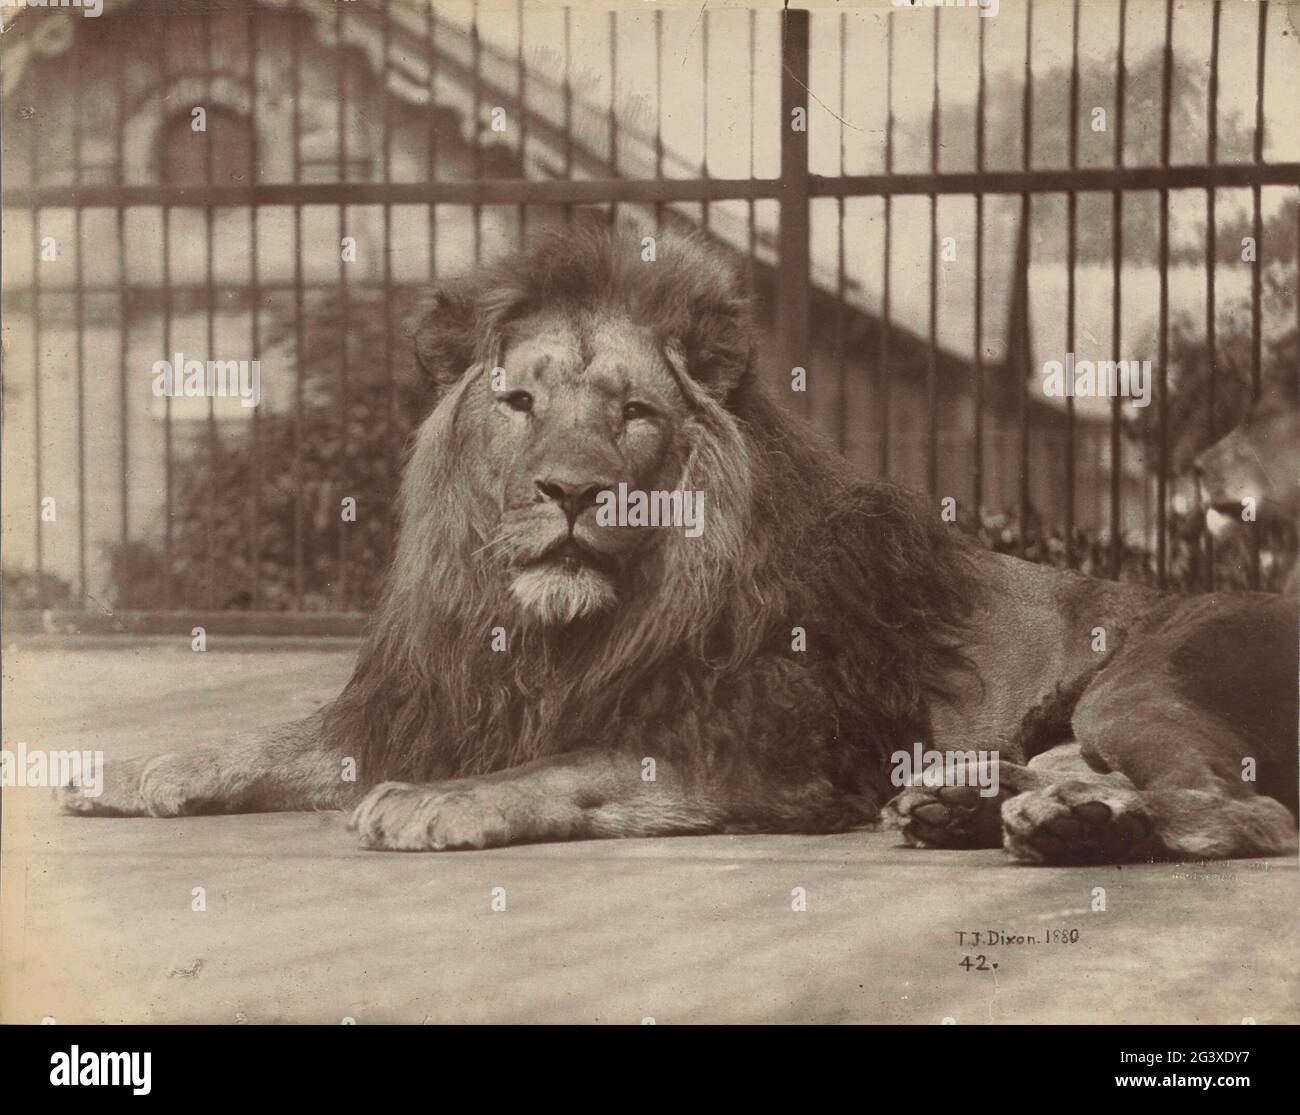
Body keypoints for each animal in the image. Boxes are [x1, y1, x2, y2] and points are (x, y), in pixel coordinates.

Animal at [60, 226, 1298, 865]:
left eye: (634, 414)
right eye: (518, 401)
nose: (570, 490)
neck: (555, 632)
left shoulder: (758, 749)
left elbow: (571, 763)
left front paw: (436, 800)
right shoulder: (431, 702)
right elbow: (276, 738)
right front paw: (142, 765)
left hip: (1145, 673)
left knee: (1238, 814)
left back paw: (1066, 824)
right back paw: (989, 808)